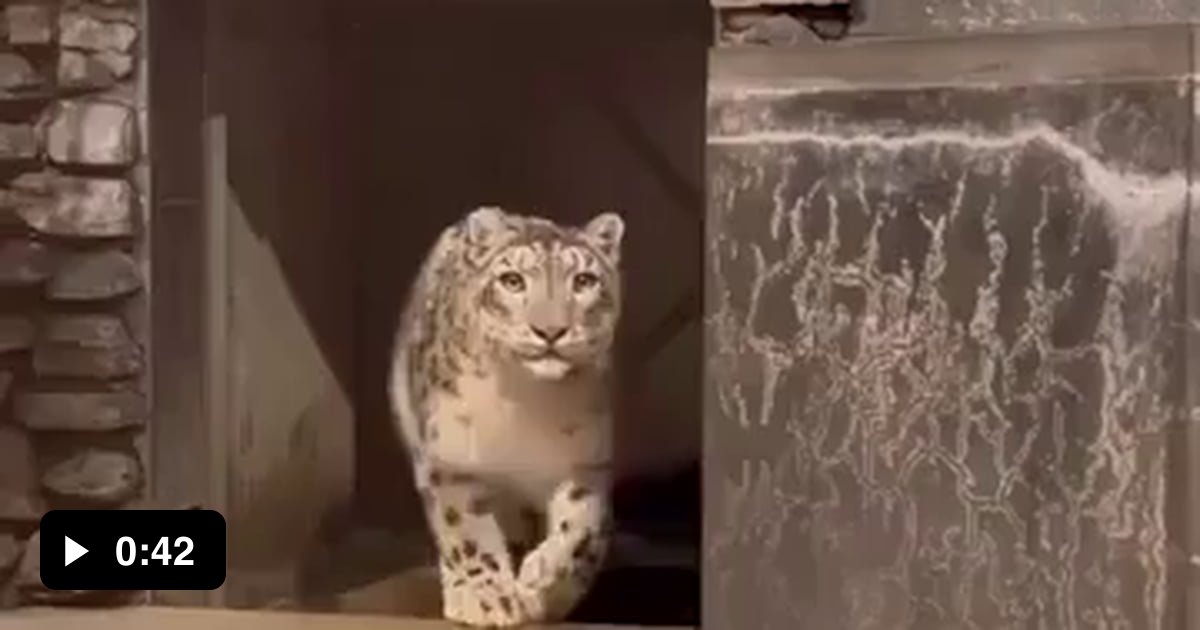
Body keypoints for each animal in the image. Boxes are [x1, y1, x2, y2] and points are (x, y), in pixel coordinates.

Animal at [388, 206, 625, 626]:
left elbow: (581, 527)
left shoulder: (586, 462)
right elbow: (467, 533)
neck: (525, 403)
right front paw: (492, 599)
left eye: (584, 280)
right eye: (512, 280)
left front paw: (543, 575)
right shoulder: (452, 463)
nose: (550, 330)